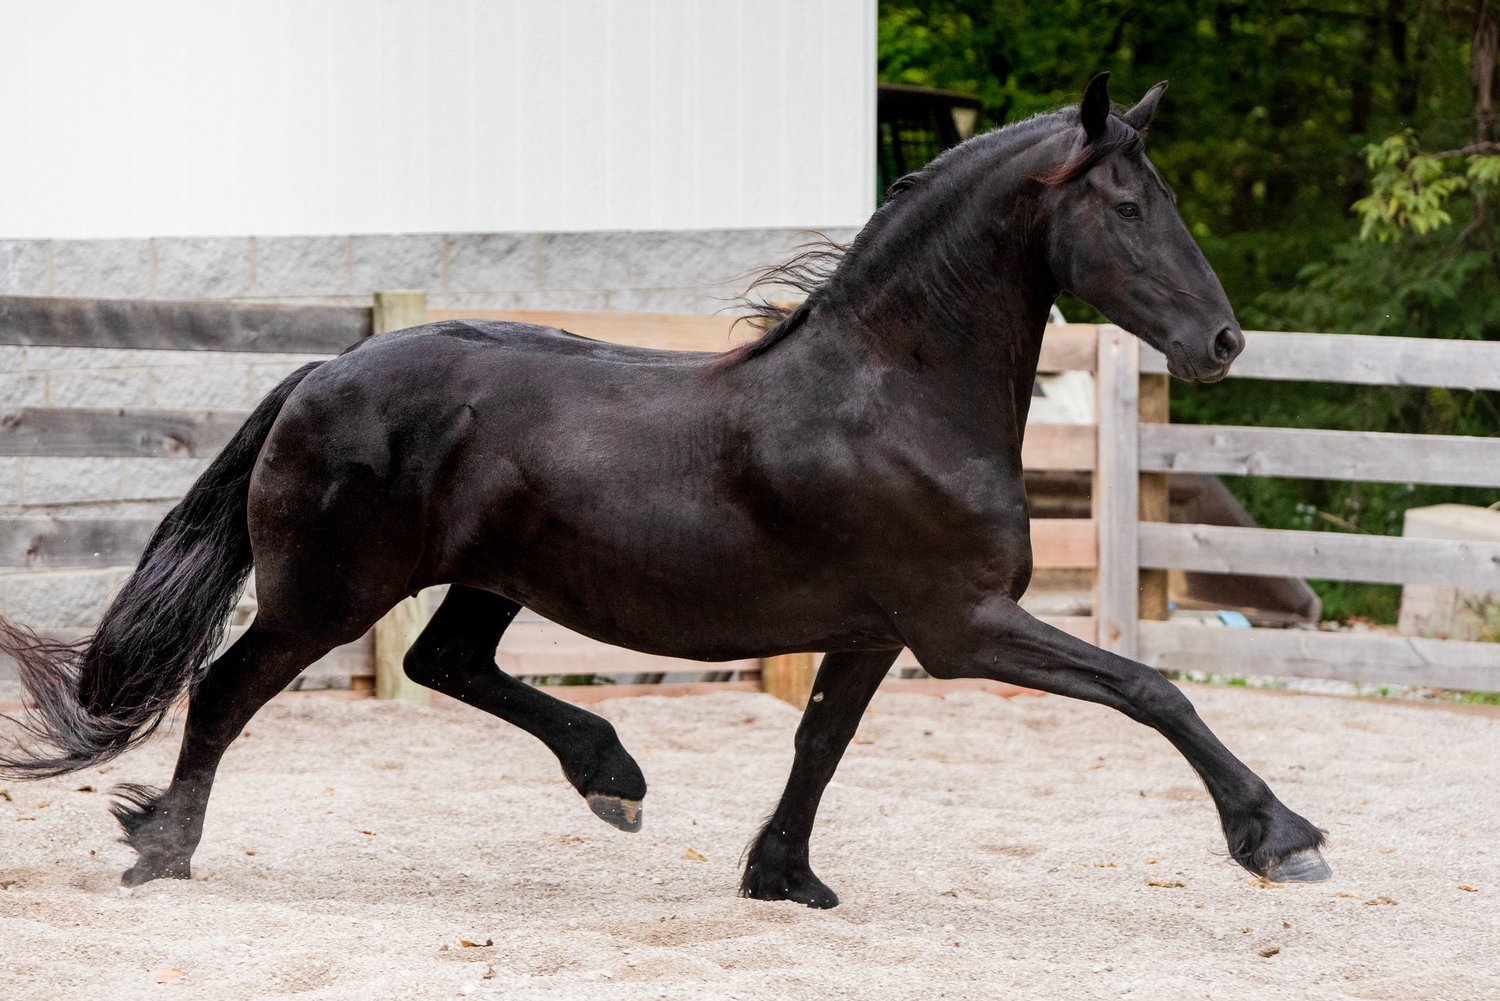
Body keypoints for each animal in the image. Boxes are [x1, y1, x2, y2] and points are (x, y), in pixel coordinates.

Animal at [0, 74, 1330, 905]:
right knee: (229, 690)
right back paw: (161, 847)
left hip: (485, 578)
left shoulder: (875, 630)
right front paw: (1282, 838)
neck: (896, 395)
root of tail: (327, 368)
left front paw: (783, 877)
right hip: (326, 592)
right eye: (1128, 204)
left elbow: (818, 741)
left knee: (447, 663)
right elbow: (1152, 687)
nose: (1222, 341)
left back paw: (614, 778)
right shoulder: (961, 626)